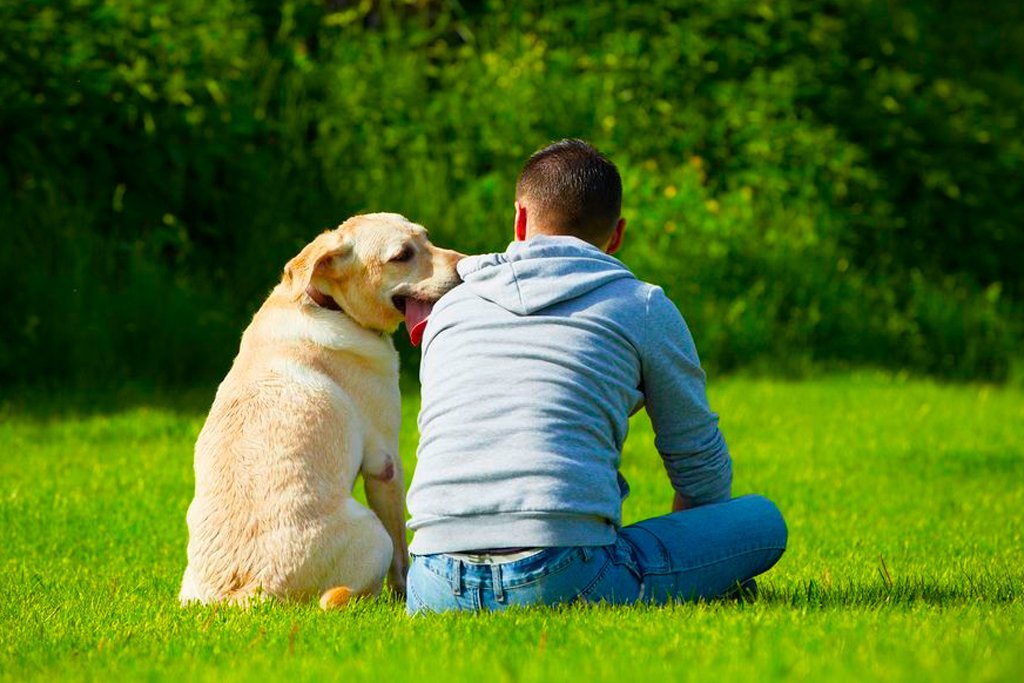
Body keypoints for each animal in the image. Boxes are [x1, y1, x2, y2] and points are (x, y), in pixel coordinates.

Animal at [179, 214, 460, 610]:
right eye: (402, 255)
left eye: (427, 238)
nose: (466, 265)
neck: (328, 304)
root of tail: (248, 592)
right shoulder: (386, 463)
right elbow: (402, 553)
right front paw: (406, 591)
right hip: (373, 533)